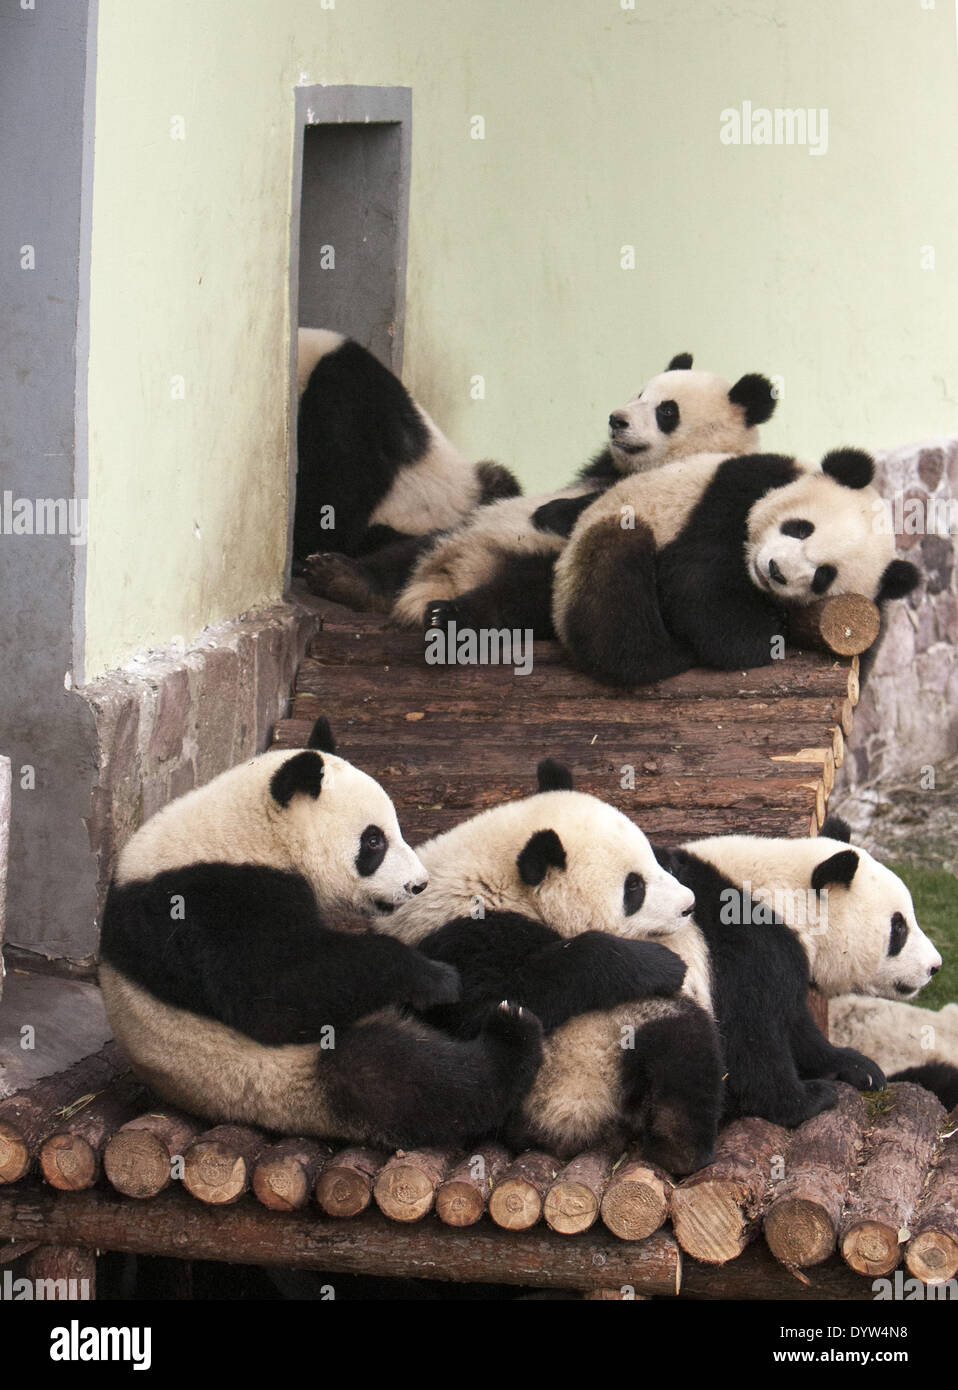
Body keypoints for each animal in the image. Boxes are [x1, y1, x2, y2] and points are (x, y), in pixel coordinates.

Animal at [97, 716, 550, 1151]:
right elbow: (273, 992)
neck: (248, 832)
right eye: (373, 841)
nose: (418, 885)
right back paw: (510, 1035)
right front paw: (435, 978)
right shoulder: (206, 901)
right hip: (276, 1075)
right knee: (403, 1077)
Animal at [382, 759, 726, 1175]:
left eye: (652, 859)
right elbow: (491, 1005)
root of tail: (580, 1118)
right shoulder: (460, 937)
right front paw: (661, 963)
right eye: (634, 888)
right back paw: (682, 1148)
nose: (688, 905)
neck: (498, 880)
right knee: (686, 1039)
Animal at [390, 354, 778, 637]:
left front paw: (552, 512)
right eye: (639, 394)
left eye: (667, 410)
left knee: (522, 595)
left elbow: (604, 506)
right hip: (460, 529)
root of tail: (452, 573)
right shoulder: (602, 466)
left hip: (551, 562)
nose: (617, 420)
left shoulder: (690, 483)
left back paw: (449, 615)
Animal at [552, 446, 921, 686]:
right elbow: (696, 582)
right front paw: (763, 631)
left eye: (823, 576)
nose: (777, 571)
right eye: (800, 528)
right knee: (616, 570)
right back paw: (662, 658)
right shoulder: (735, 488)